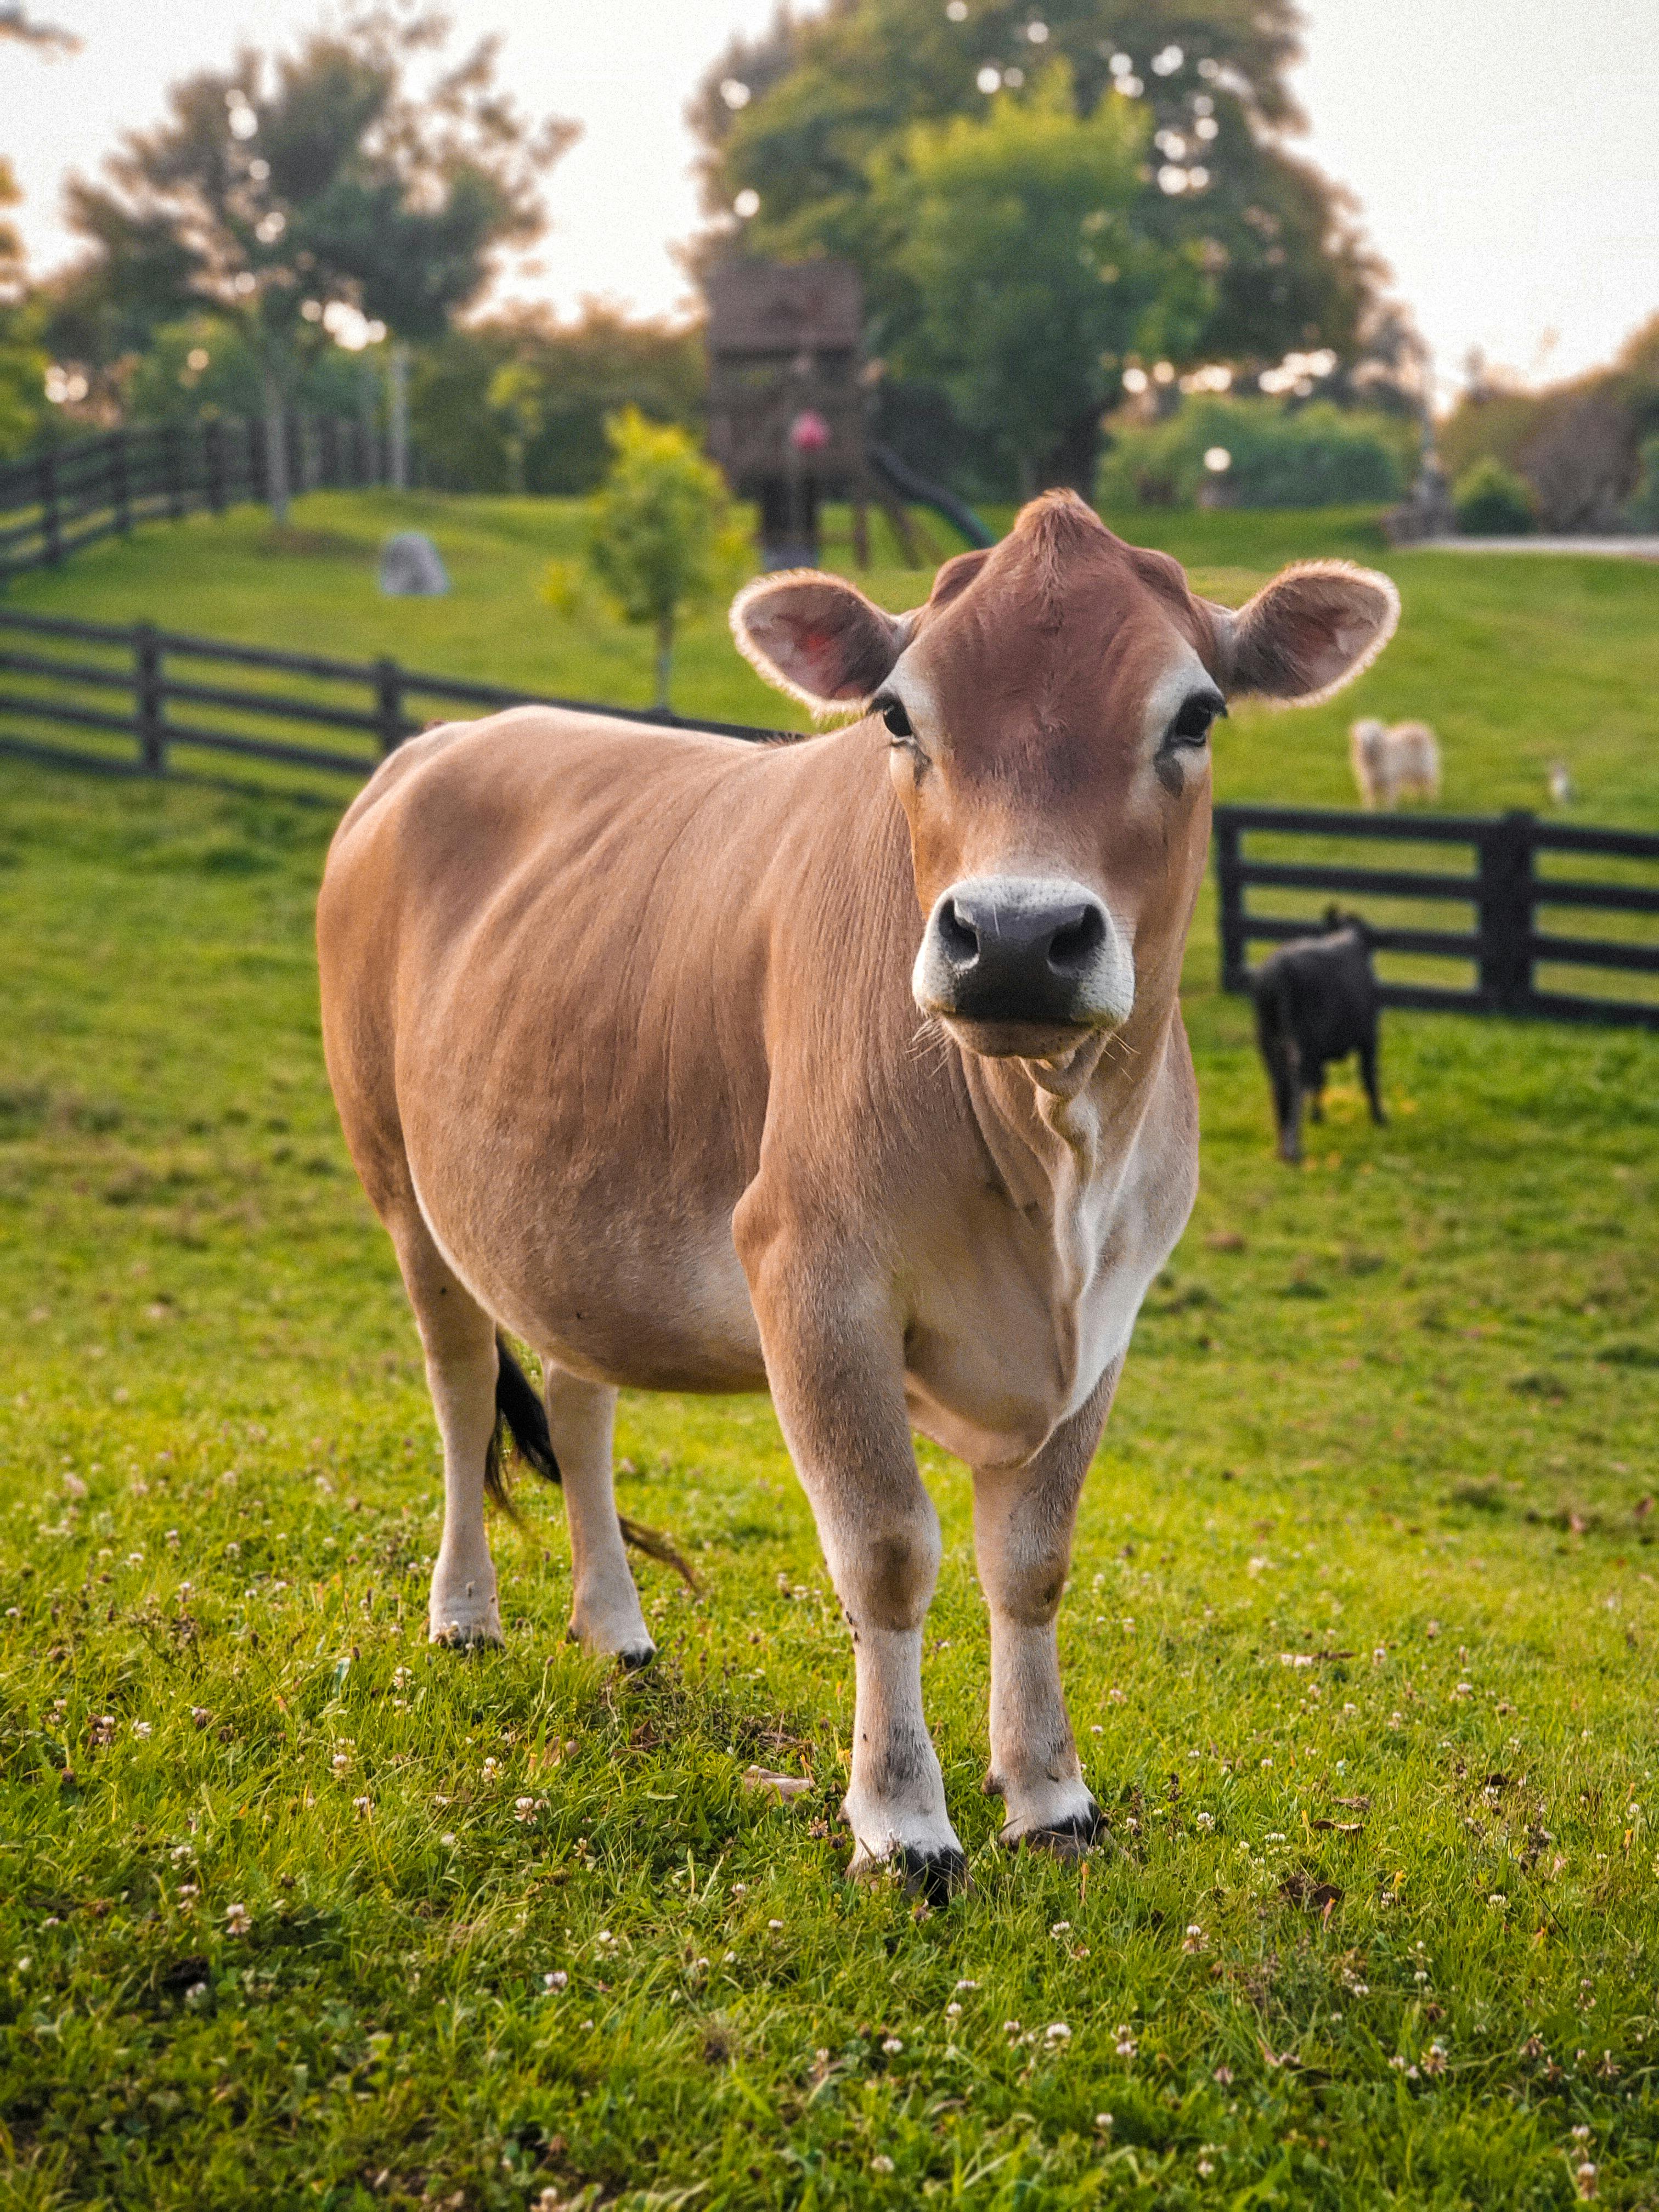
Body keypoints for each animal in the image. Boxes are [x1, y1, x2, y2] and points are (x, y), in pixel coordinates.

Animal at [1252, 907, 1386, 1164]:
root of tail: (1277, 968)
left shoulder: (1319, 1050)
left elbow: (1320, 1080)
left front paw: (1318, 1116)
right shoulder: (1369, 1036)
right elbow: (1369, 1076)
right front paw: (1380, 1117)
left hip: (1268, 1042)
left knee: (1279, 1085)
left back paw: (1282, 1150)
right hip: (1298, 1043)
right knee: (1296, 1084)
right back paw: (1294, 1151)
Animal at [1349, 715, 1440, 808]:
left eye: (1373, 733)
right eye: (1362, 733)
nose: (1365, 743)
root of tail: (1421, 728)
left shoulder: (1390, 780)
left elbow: (1390, 799)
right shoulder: (1369, 782)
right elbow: (1370, 800)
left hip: (1424, 768)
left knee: (1431, 785)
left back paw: (1433, 803)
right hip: (1413, 771)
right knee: (1416, 787)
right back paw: (1416, 802)